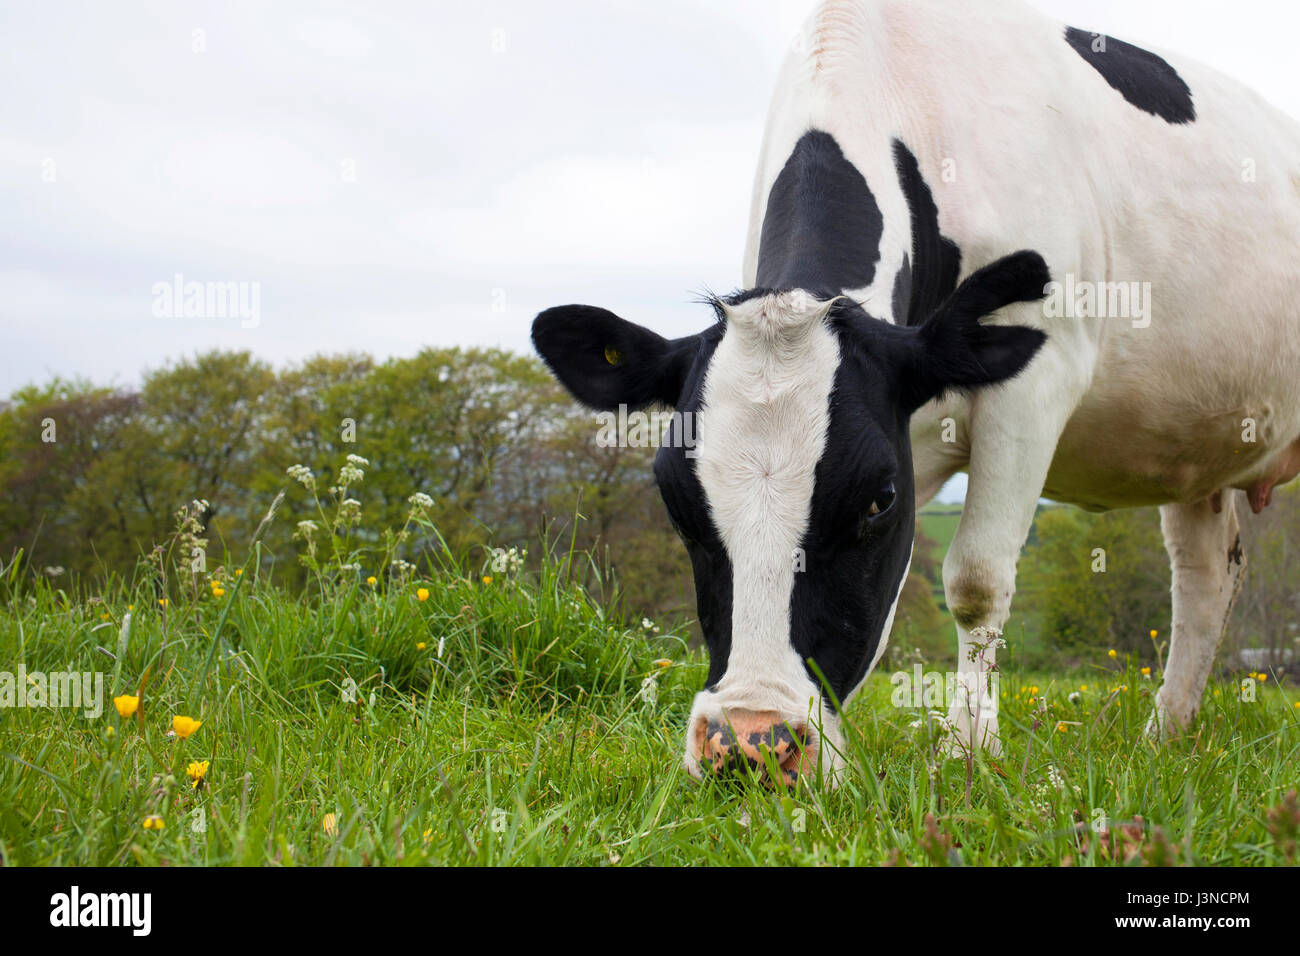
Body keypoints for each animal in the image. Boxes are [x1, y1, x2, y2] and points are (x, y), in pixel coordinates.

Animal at [531, 0, 1300, 785]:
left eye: (878, 499)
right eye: (675, 498)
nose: (751, 743)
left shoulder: (1036, 375)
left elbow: (976, 578)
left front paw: (969, 750)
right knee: (1206, 574)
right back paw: (1165, 737)